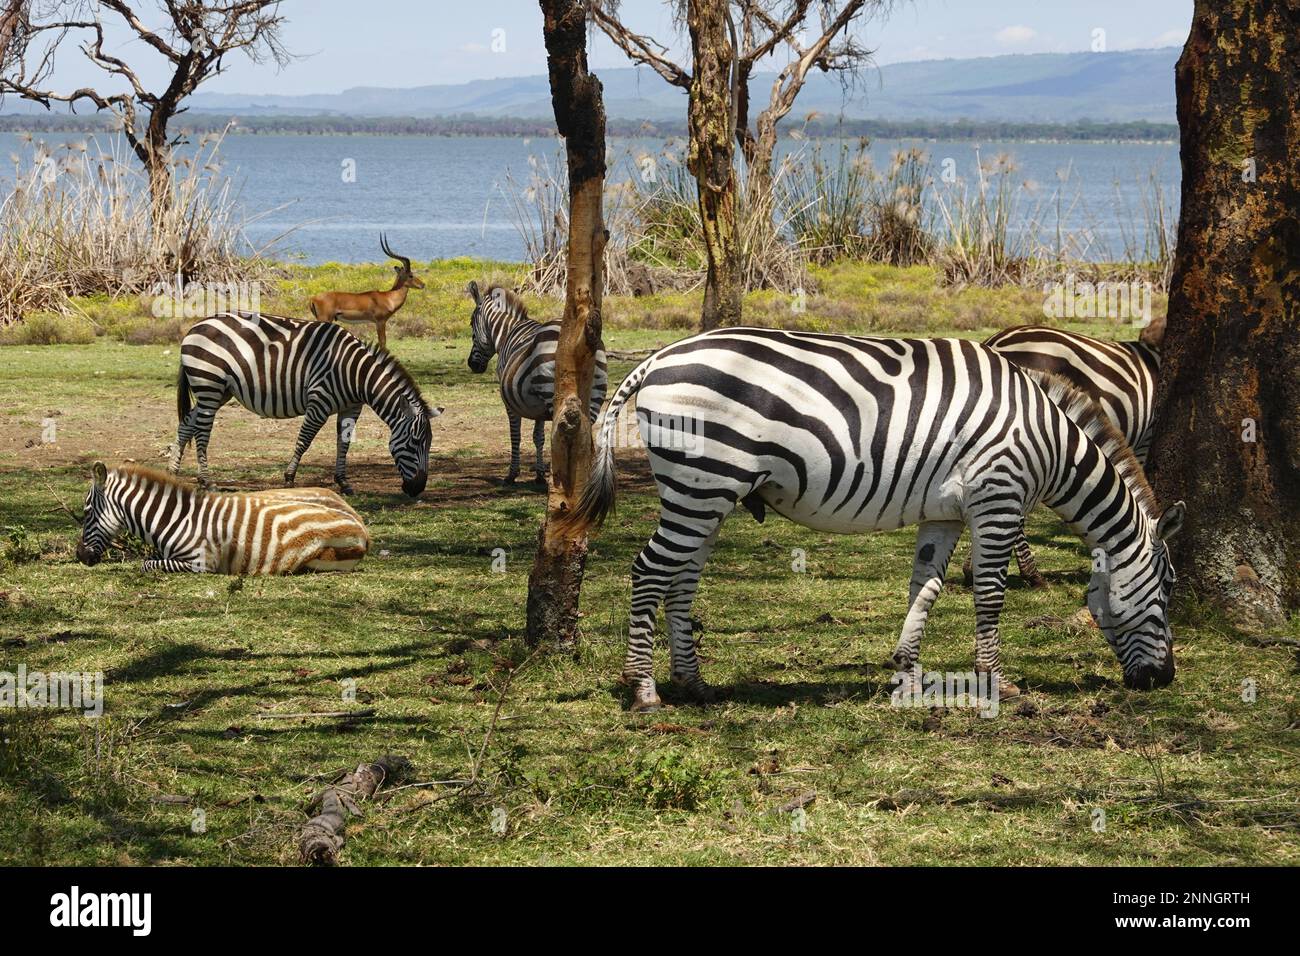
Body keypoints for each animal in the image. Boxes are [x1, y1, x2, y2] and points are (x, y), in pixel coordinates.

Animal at [76, 462, 370, 574]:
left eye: (87, 512)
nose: (80, 556)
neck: (178, 519)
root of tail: (363, 531)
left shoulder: (200, 563)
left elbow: (147, 565)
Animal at [171, 311, 439, 497]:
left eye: (429, 444)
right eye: (415, 442)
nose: (417, 489)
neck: (355, 373)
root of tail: (197, 325)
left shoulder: (351, 407)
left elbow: (344, 444)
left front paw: (344, 483)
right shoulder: (319, 402)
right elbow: (304, 440)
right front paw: (289, 477)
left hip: (220, 390)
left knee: (186, 423)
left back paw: (172, 472)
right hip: (209, 384)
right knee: (202, 431)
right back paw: (207, 481)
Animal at [466, 282, 607, 483]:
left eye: (471, 324)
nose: (472, 364)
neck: (507, 332)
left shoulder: (510, 401)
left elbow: (515, 435)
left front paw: (512, 474)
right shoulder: (538, 406)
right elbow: (538, 437)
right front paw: (539, 474)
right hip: (593, 396)